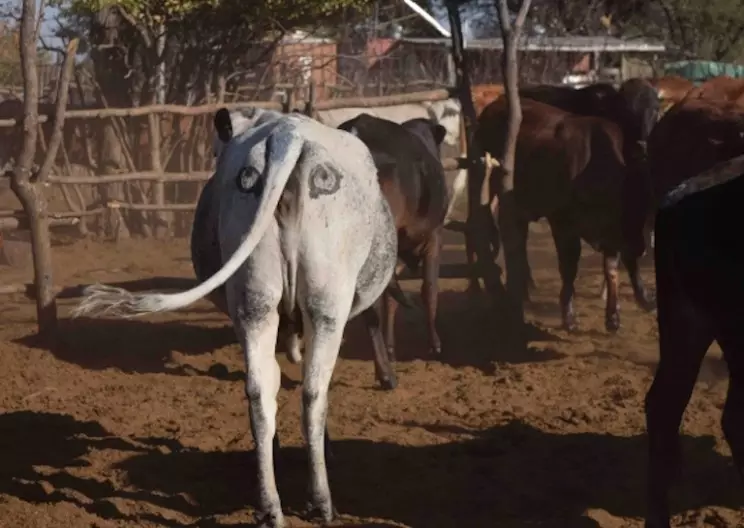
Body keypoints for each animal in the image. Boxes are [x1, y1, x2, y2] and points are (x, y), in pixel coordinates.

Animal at [71, 108, 406, 528]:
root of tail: (288, 133)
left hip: (255, 303)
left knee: (261, 393)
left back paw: (270, 505)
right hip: (327, 305)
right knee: (314, 392)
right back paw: (320, 502)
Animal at [476, 97, 656, 332]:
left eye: (646, 206)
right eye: (628, 205)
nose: (641, 248)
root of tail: (495, 104)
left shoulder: (610, 235)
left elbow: (612, 269)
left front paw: (614, 316)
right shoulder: (563, 225)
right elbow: (569, 268)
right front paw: (569, 316)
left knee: (519, 242)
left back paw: (525, 288)